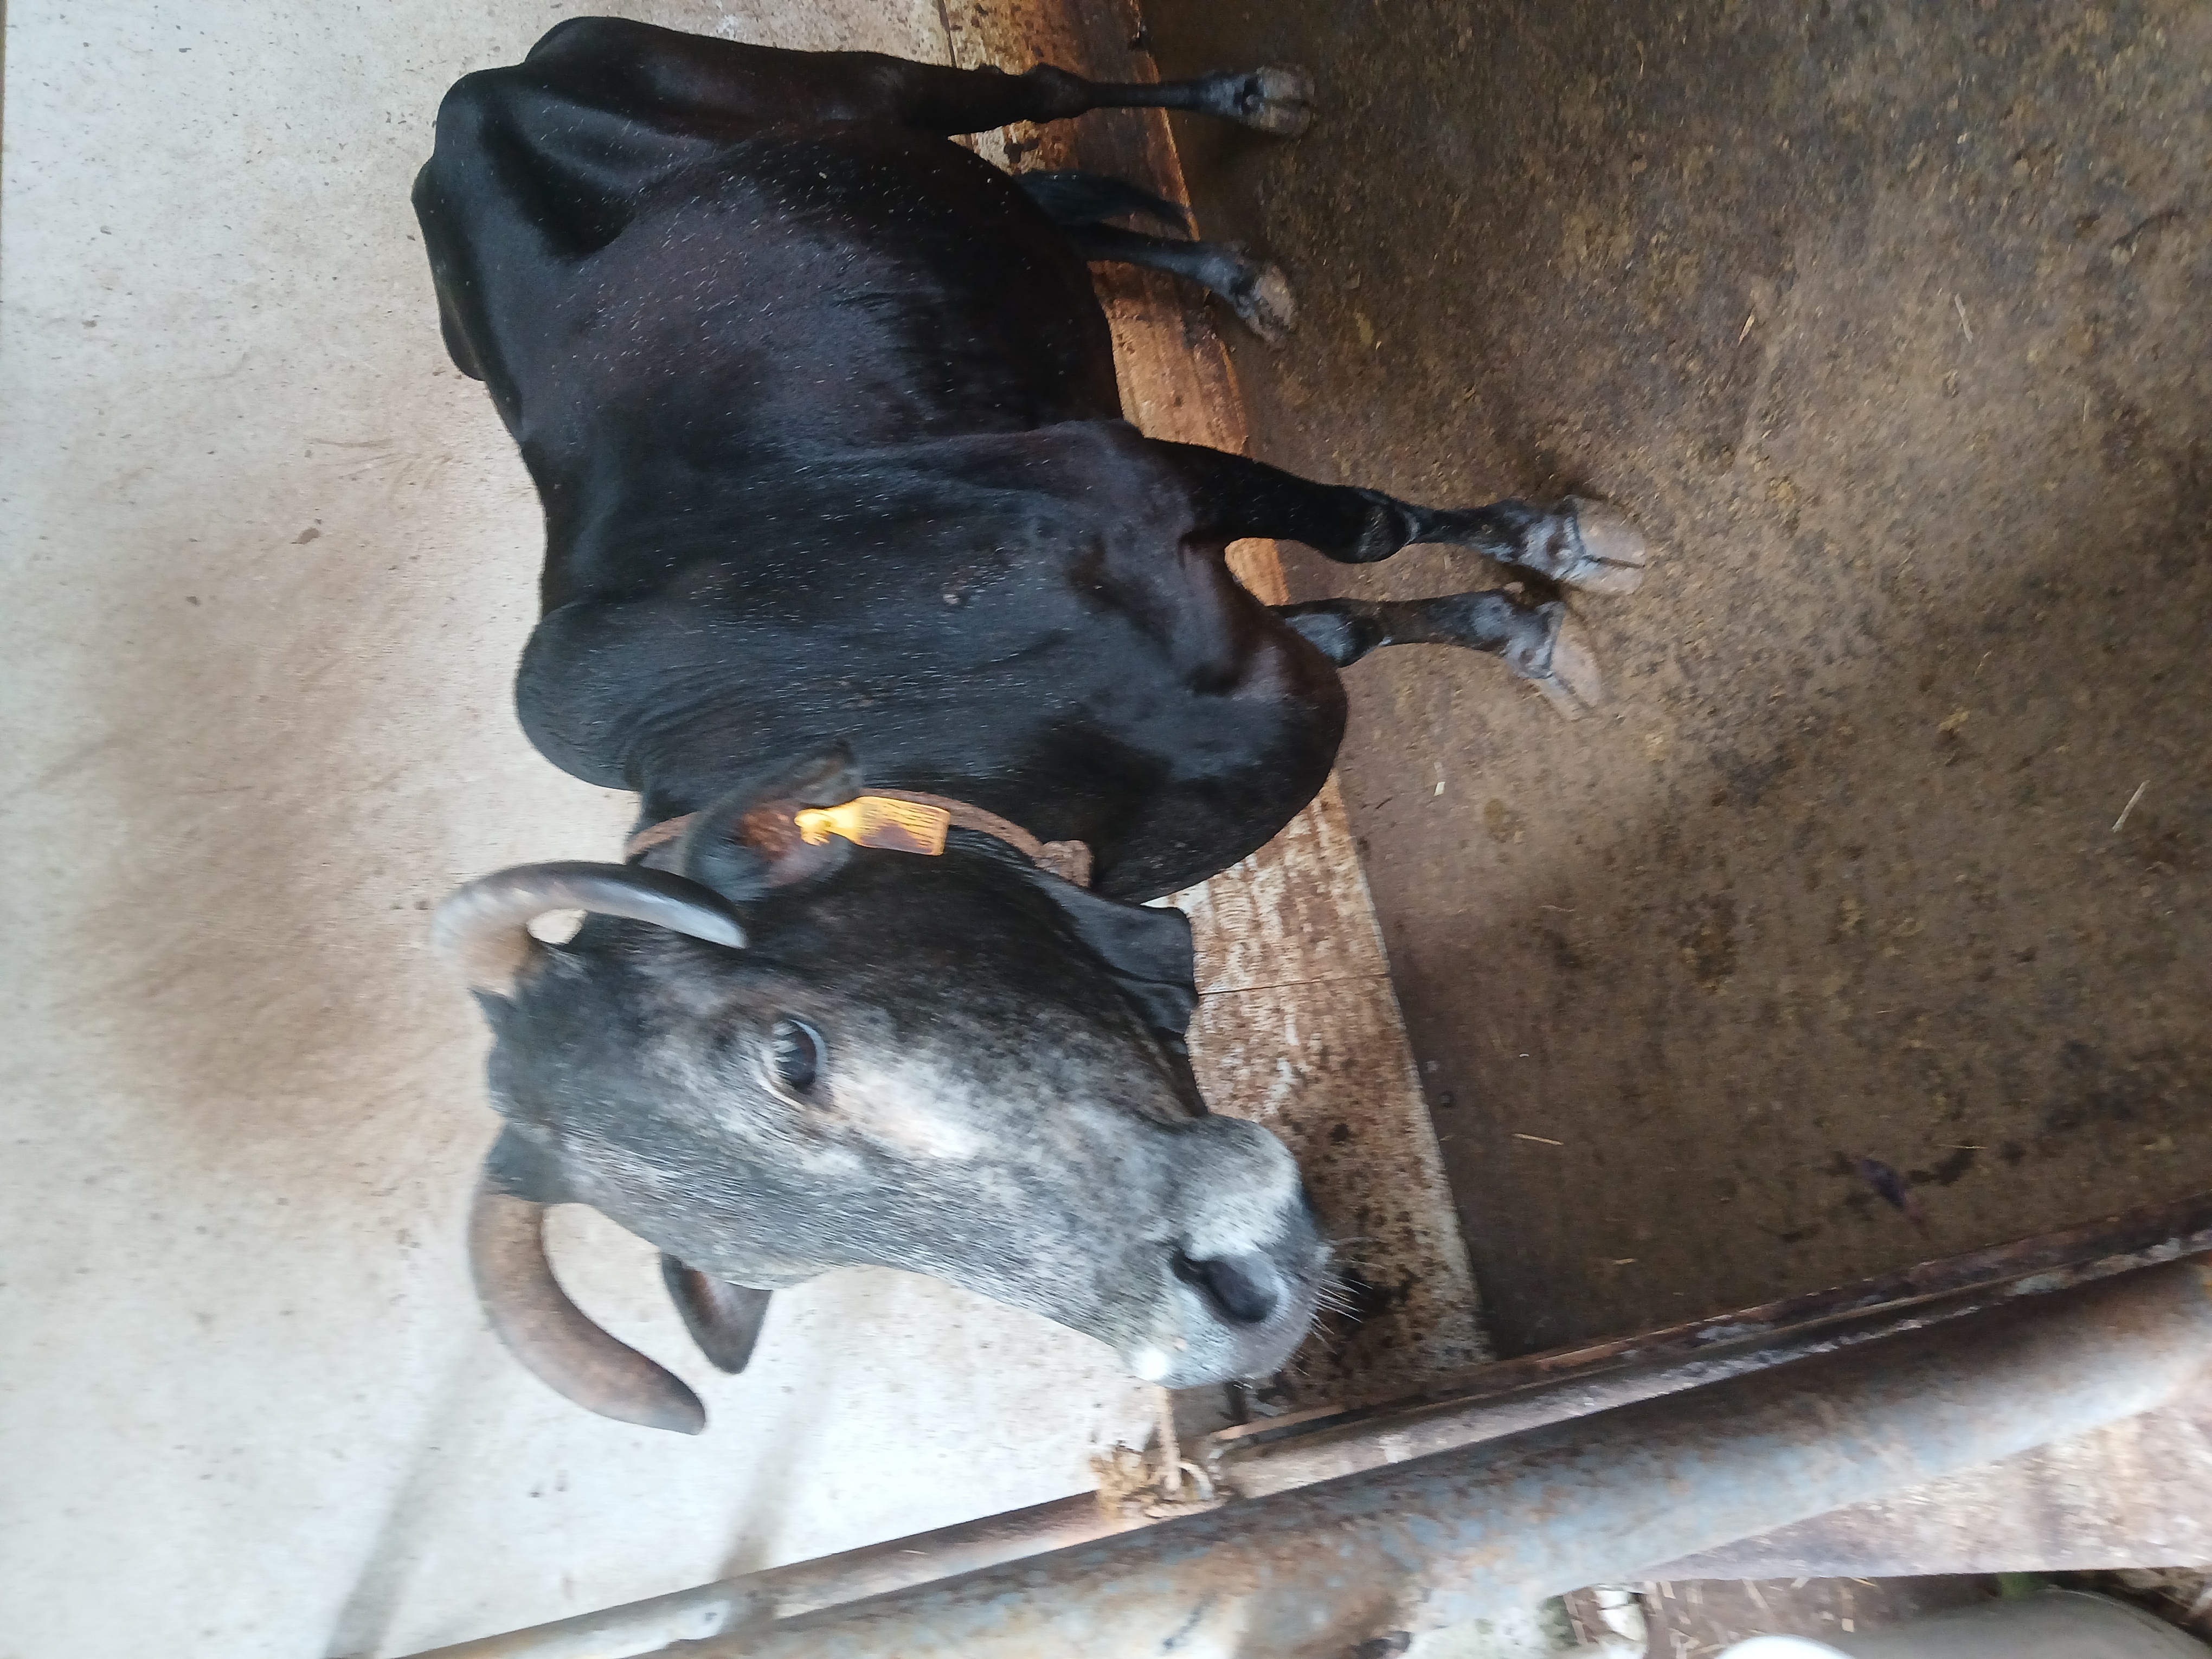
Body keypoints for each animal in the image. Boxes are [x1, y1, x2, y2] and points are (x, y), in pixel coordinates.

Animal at [417, 17, 1647, 1433]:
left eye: (793, 1054)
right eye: (795, 1265)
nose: (1230, 1310)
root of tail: (479, 96)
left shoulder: (1145, 477)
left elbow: (1367, 525)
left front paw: (1549, 555)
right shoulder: (1253, 667)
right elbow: (1344, 623)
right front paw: (1511, 621)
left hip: (861, 86)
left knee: (1042, 101)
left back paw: (1250, 106)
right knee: (1054, 203)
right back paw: (1230, 269)